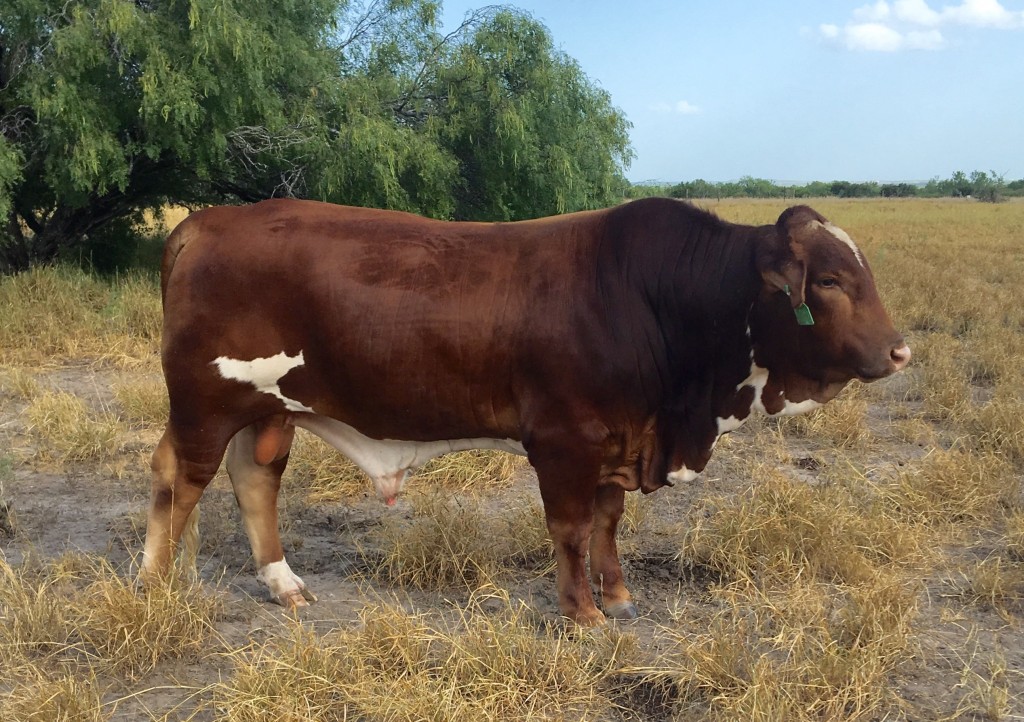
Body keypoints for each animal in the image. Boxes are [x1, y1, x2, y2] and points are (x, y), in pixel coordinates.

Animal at [141, 197, 910, 625]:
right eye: (830, 280)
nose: (901, 350)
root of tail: (206, 222)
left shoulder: (616, 439)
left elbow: (607, 523)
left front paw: (617, 595)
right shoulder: (566, 441)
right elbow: (569, 529)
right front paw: (582, 613)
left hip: (268, 408)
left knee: (254, 479)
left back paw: (283, 583)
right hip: (206, 403)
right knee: (179, 478)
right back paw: (155, 583)